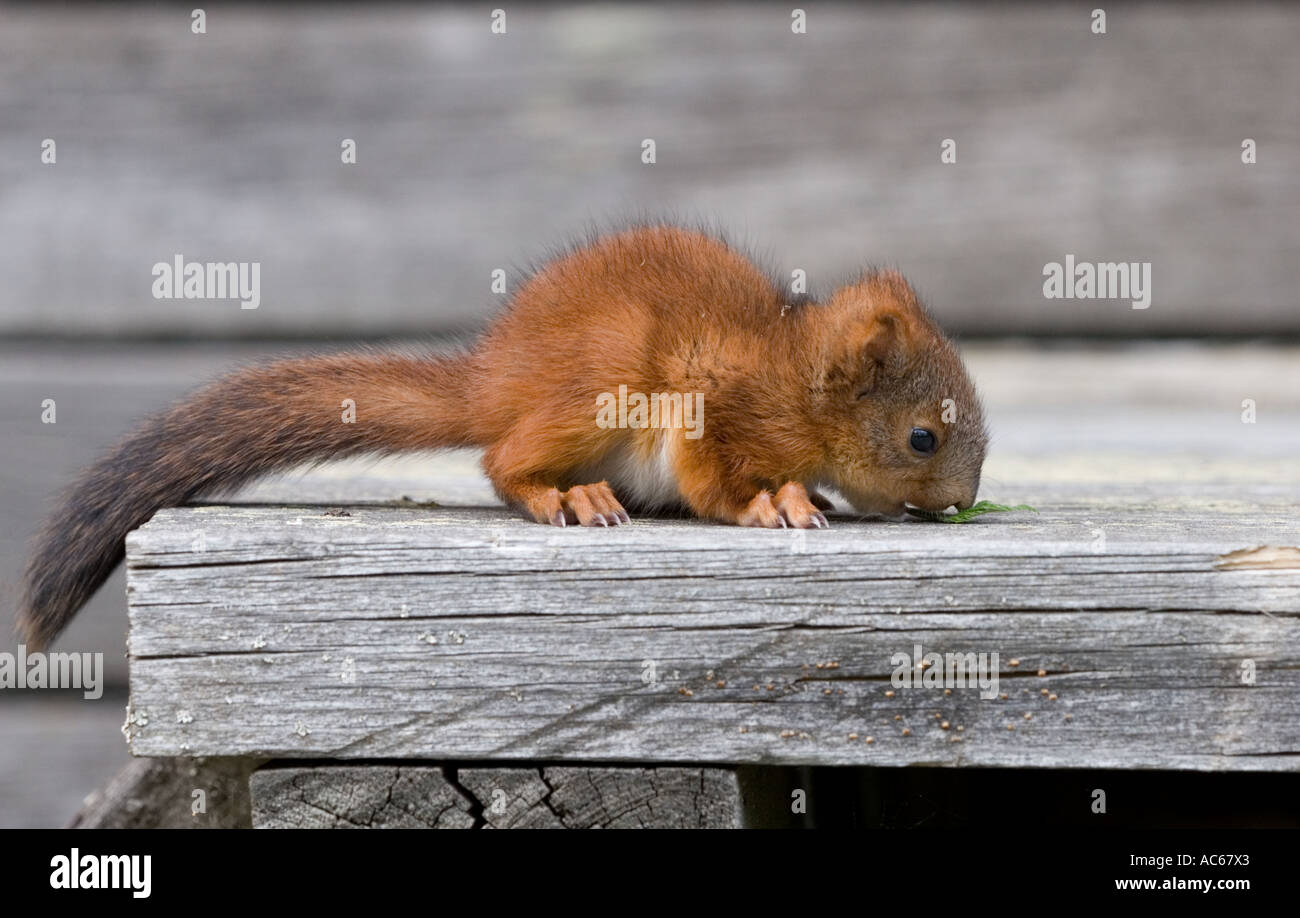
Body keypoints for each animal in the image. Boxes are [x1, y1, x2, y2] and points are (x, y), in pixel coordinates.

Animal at [17, 224, 988, 649]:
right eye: (923, 440)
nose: (964, 504)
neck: (794, 378)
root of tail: (494, 381)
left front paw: (807, 490)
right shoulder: (708, 403)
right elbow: (711, 480)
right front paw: (772, 504)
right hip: (599, 387)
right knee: (499, 461)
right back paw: (569, 495)